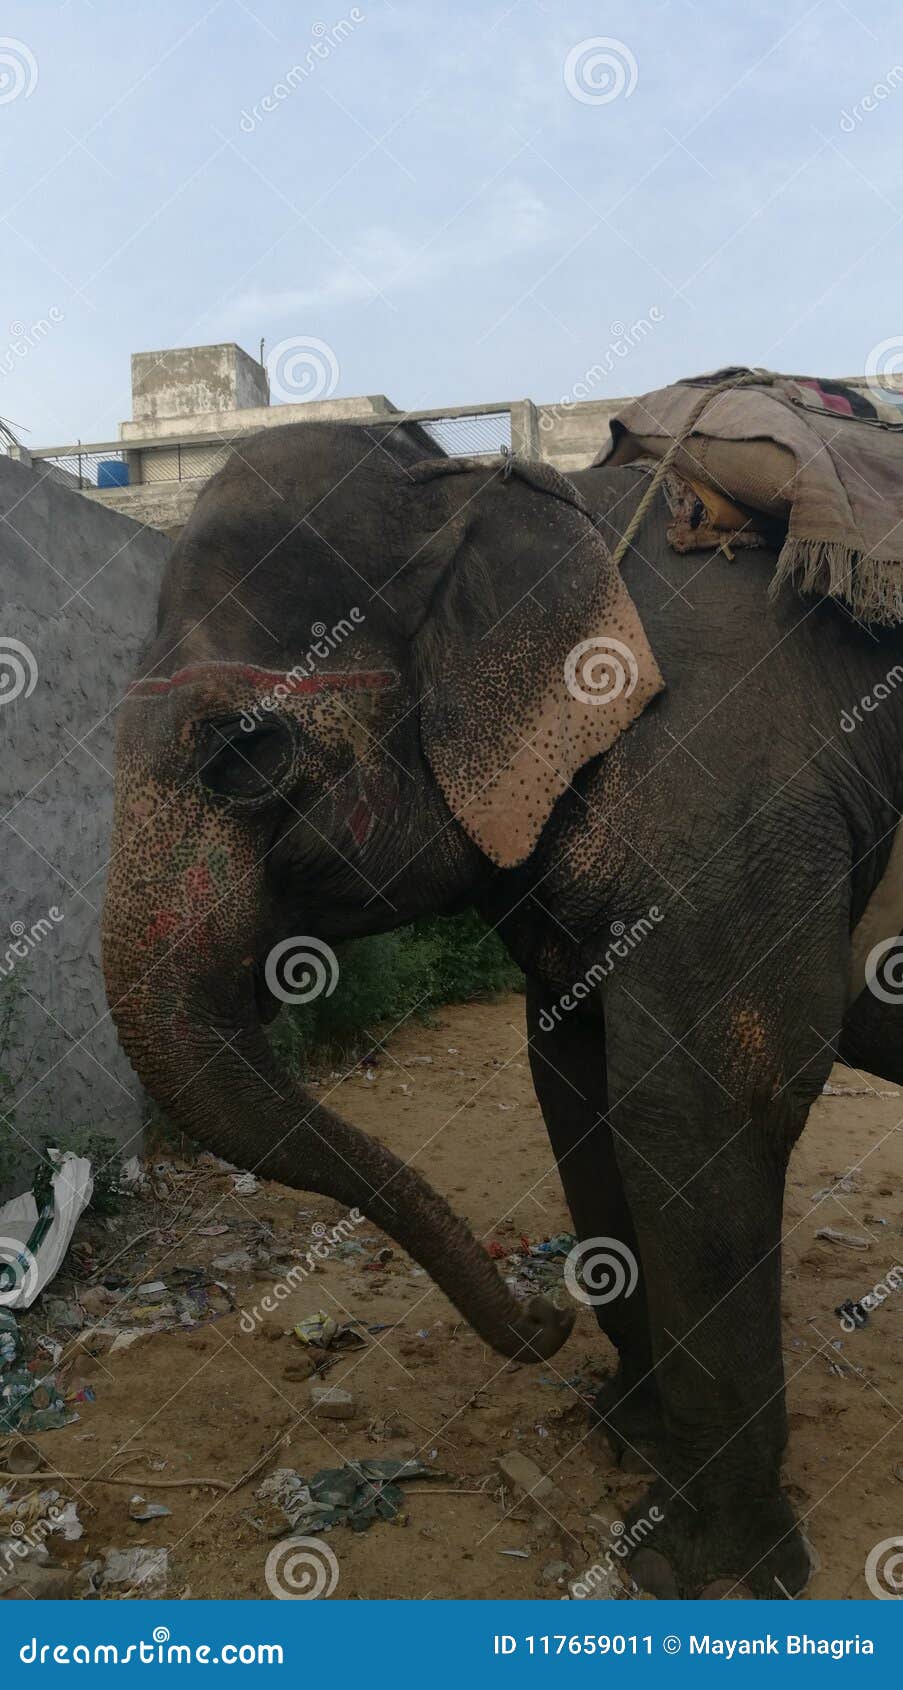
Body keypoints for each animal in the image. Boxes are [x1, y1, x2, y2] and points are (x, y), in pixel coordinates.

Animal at [102, 419, 903, 1600]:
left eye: (247, 754)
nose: (543, 1316)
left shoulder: (737, 807)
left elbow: (698, 1109)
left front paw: (700, 1572)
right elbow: (573, 1077)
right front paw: (626, 1437)